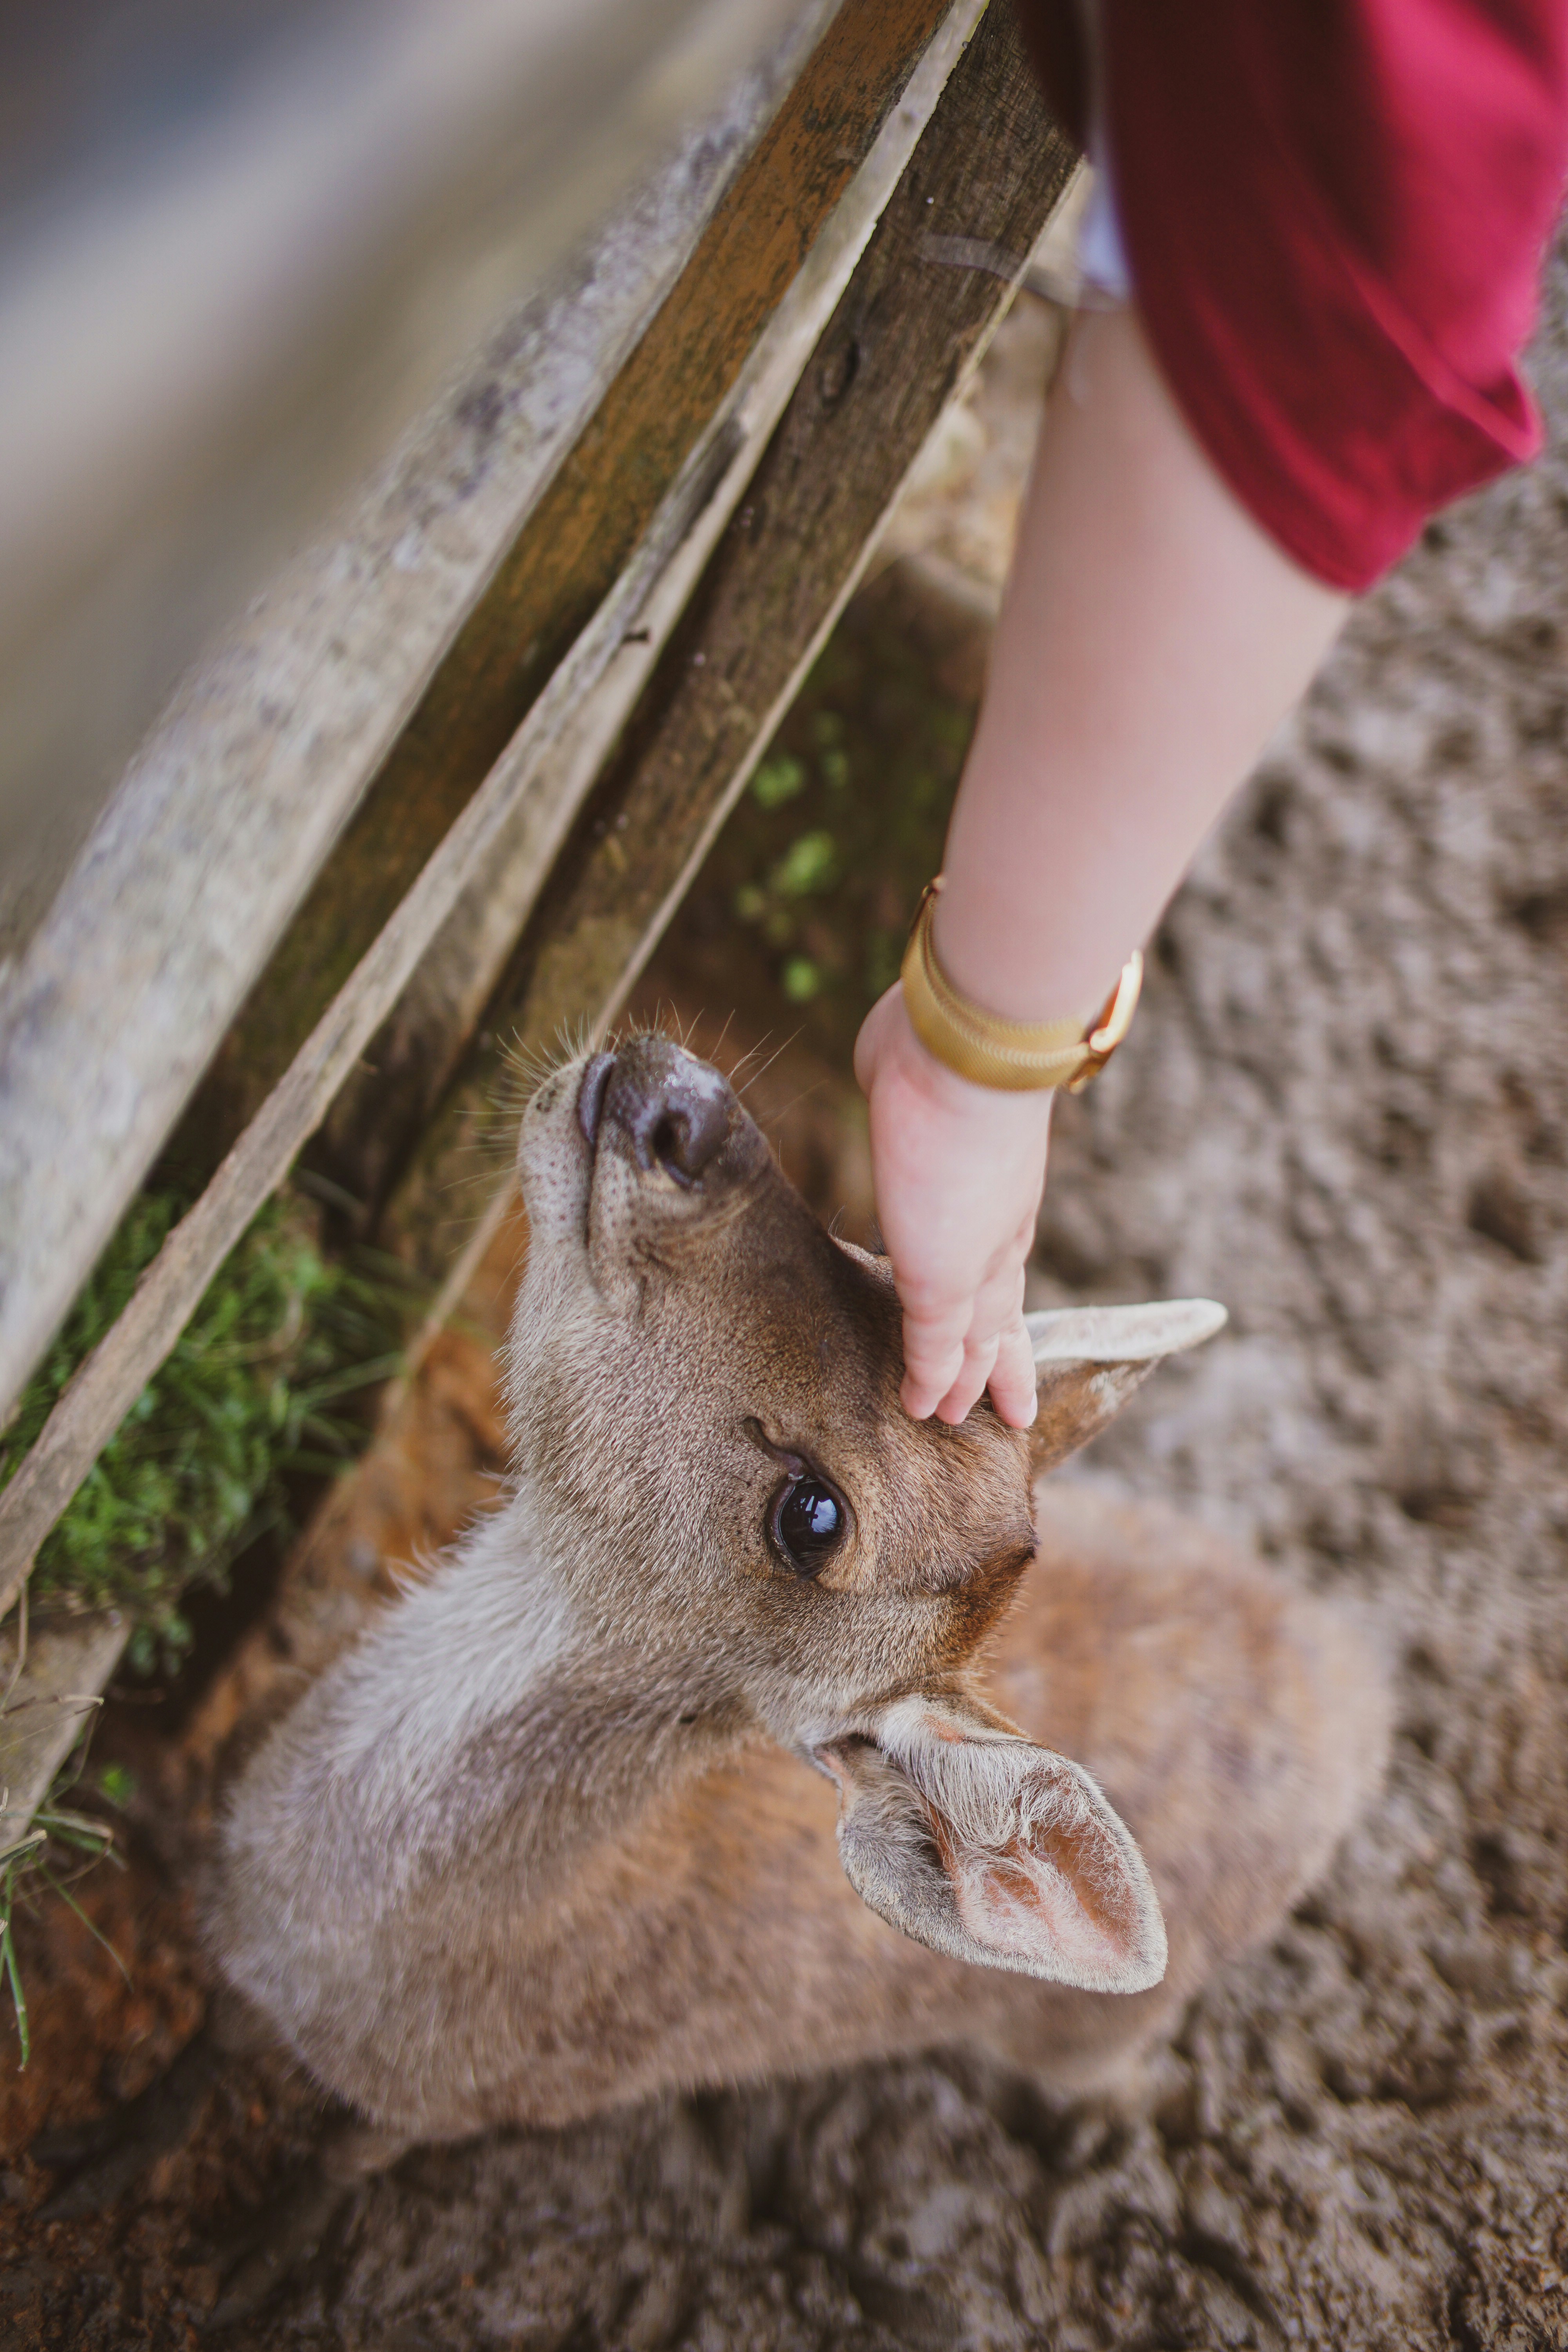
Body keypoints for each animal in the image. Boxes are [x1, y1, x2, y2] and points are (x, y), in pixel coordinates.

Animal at [204, 1030, 1388, 2198]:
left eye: (812, 1515)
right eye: (879, 1257)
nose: (689, 1111)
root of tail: (1354, 1687)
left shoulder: (441, 2109)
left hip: (1097, 2029)